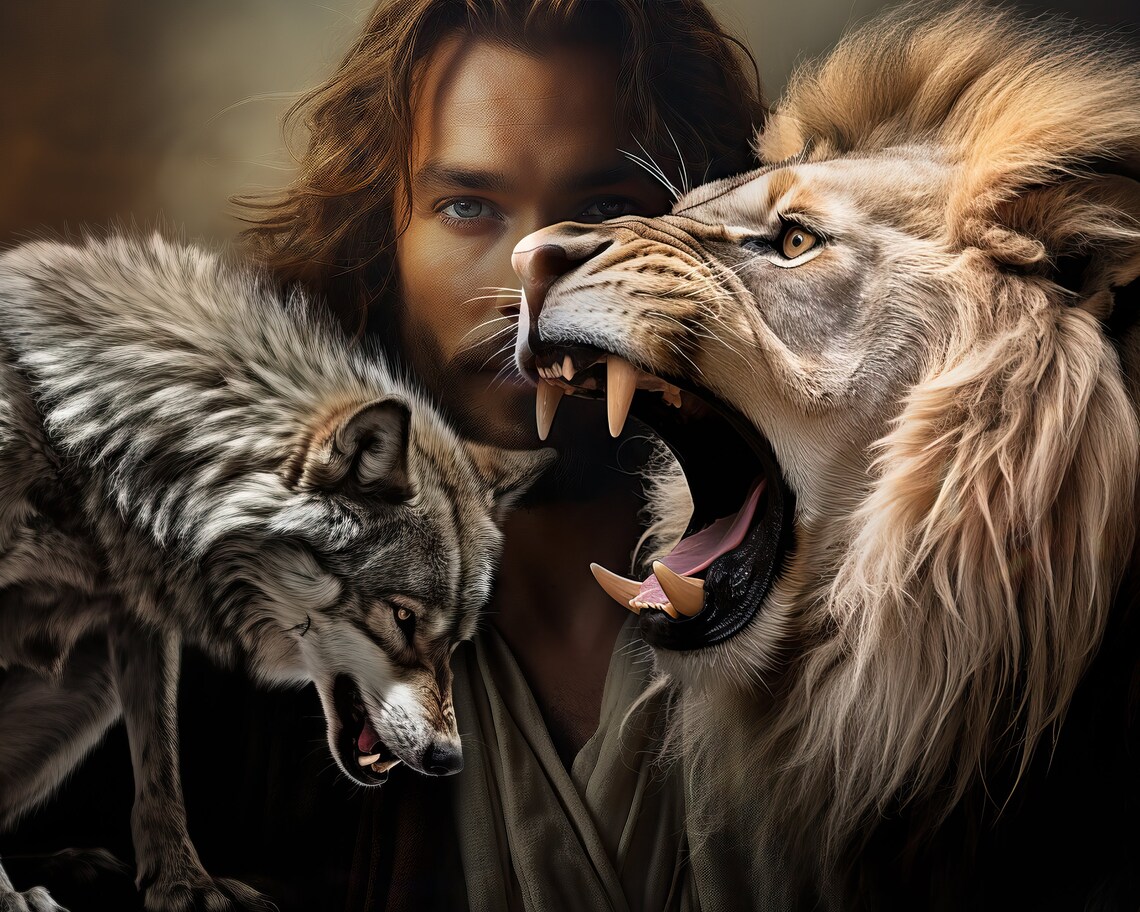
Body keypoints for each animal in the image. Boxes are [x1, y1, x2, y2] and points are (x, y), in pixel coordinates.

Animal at [0, 233, 552, 911]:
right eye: (401, 617)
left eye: (458, 642)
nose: (449, 759)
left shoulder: (144, 612)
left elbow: (161, 769)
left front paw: (184, 885)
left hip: (92, 685)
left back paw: (75, 862)